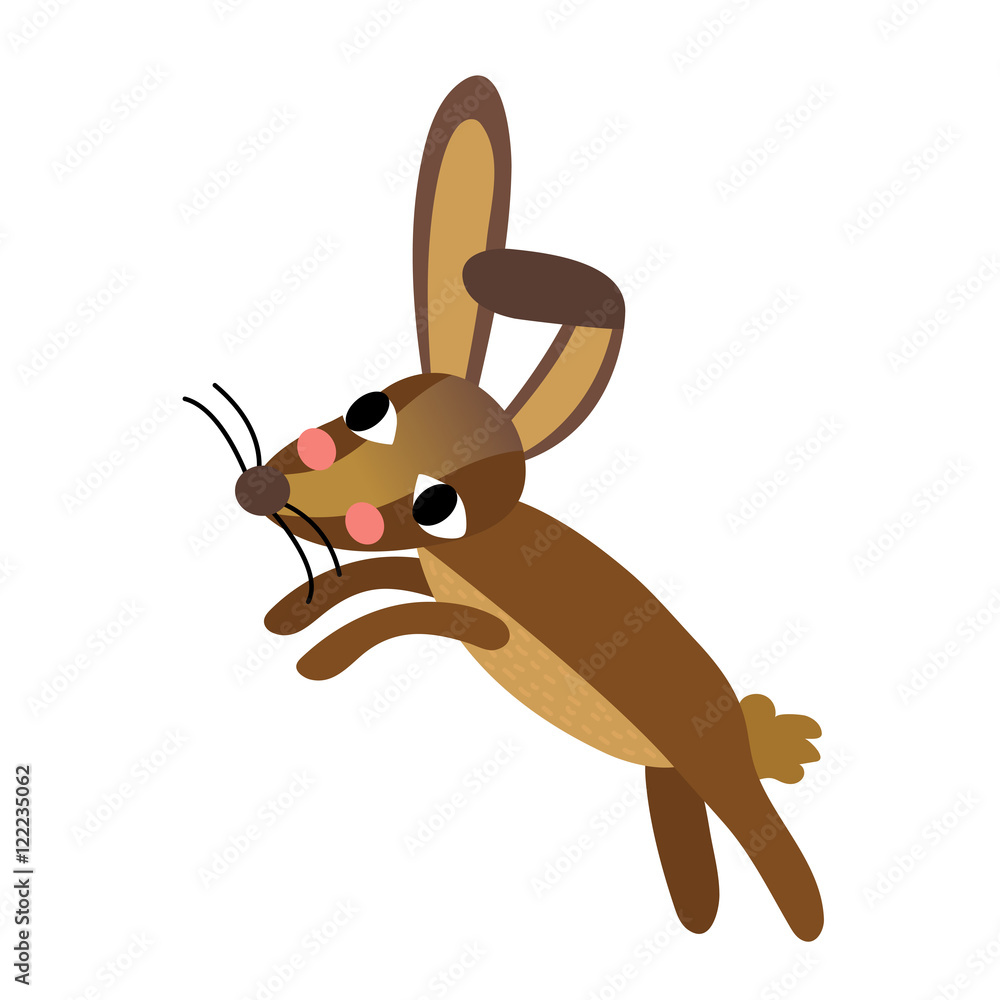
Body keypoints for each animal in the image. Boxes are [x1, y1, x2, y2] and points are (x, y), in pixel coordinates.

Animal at [184, 76, 823, 941]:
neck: (478, 544)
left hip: (711, 777)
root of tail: (720, 741)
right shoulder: (430, 575)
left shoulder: (477, 622)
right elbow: (379, 582)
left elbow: (408, 616)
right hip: (676, 780)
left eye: (437, 503)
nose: (263, 491)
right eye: (366, 409)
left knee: (756, 832)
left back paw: (788, 906)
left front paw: (326, 656)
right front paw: (296, 614)